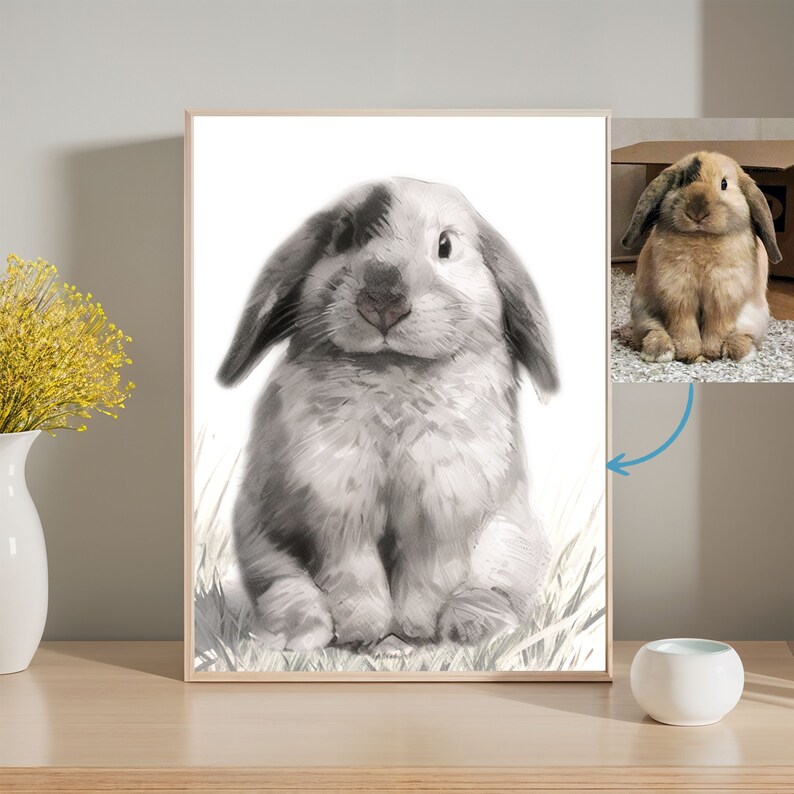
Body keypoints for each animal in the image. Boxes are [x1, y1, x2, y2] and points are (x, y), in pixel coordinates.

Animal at [217, 177, 558, 651]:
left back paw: (471, 628)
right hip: (260, 544)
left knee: (494, 590)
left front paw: (417, 629)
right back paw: (296, 635)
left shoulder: (442, 511)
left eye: (445, 245)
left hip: (514, 543)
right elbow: (354, 577)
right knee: (285, 590)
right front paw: (365, 631)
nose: (383, 300)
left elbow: (430, 577)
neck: (393, 374)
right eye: (345, 236)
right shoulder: (337, 514)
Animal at [621, 151, 782, 364]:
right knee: (652, 331)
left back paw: (739, 352)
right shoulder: (678, 294)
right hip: (641, 312)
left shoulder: (723, 295)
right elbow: (683, 325)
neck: (701, 236)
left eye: (724, 184)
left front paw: (710, 353)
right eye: (681, 181)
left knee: (744, 335)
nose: (696, 211)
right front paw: (689, 353)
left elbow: (717, 325)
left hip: (756, 317)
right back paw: (659, 352)